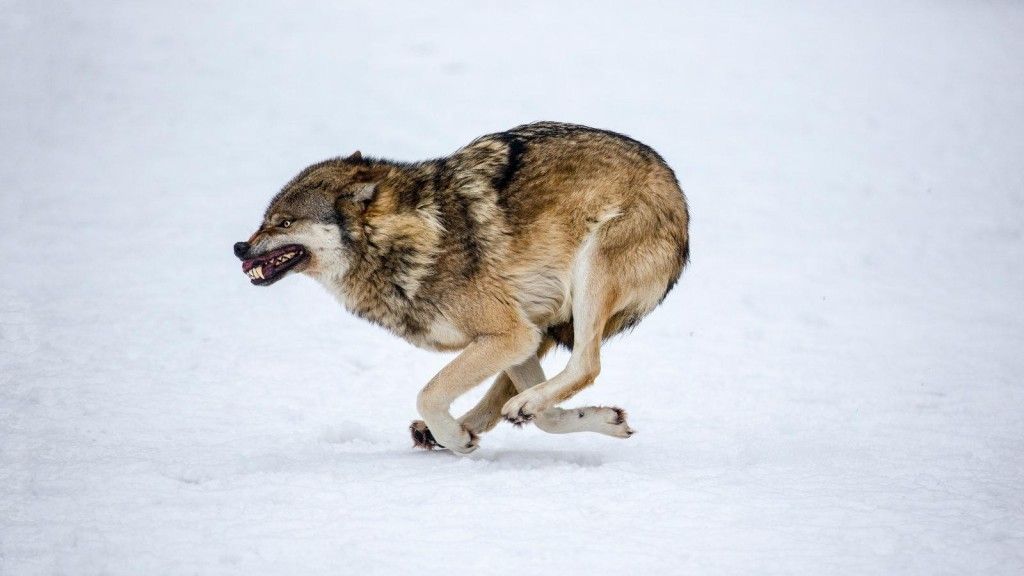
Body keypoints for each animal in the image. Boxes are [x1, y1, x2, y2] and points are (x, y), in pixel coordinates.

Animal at [234, 122, 689, 454]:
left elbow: (430, 393)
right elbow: (536, 415)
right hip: (546, 322)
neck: (398, 241)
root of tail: (675, 185)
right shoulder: (517, 336)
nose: (239, 248)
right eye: (264, 220)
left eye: (283, 223)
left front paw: (455, 437)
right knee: (520, 402)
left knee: (586, 365)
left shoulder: (510, 334)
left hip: (588, 278)